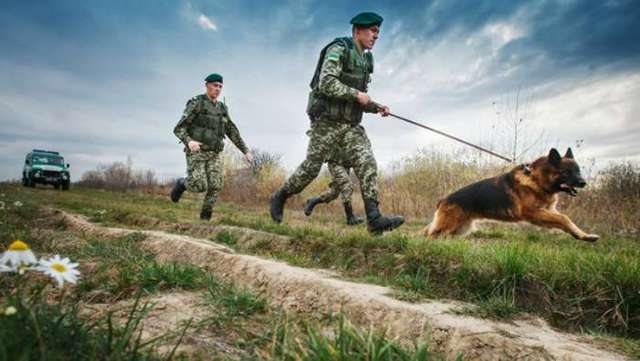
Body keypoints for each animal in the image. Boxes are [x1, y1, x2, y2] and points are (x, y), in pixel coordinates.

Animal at [424, 146, 600, 242]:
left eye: (578, 171)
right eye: (566, 172)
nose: (583, 183)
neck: (536, 179)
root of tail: (443, 200)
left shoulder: (545, 213)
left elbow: (565, 222)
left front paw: (583, 235)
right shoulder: (534, 213)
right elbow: (564, 218)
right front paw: (584, 236)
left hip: (459, 229)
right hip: (447, 227)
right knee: (428, 235)